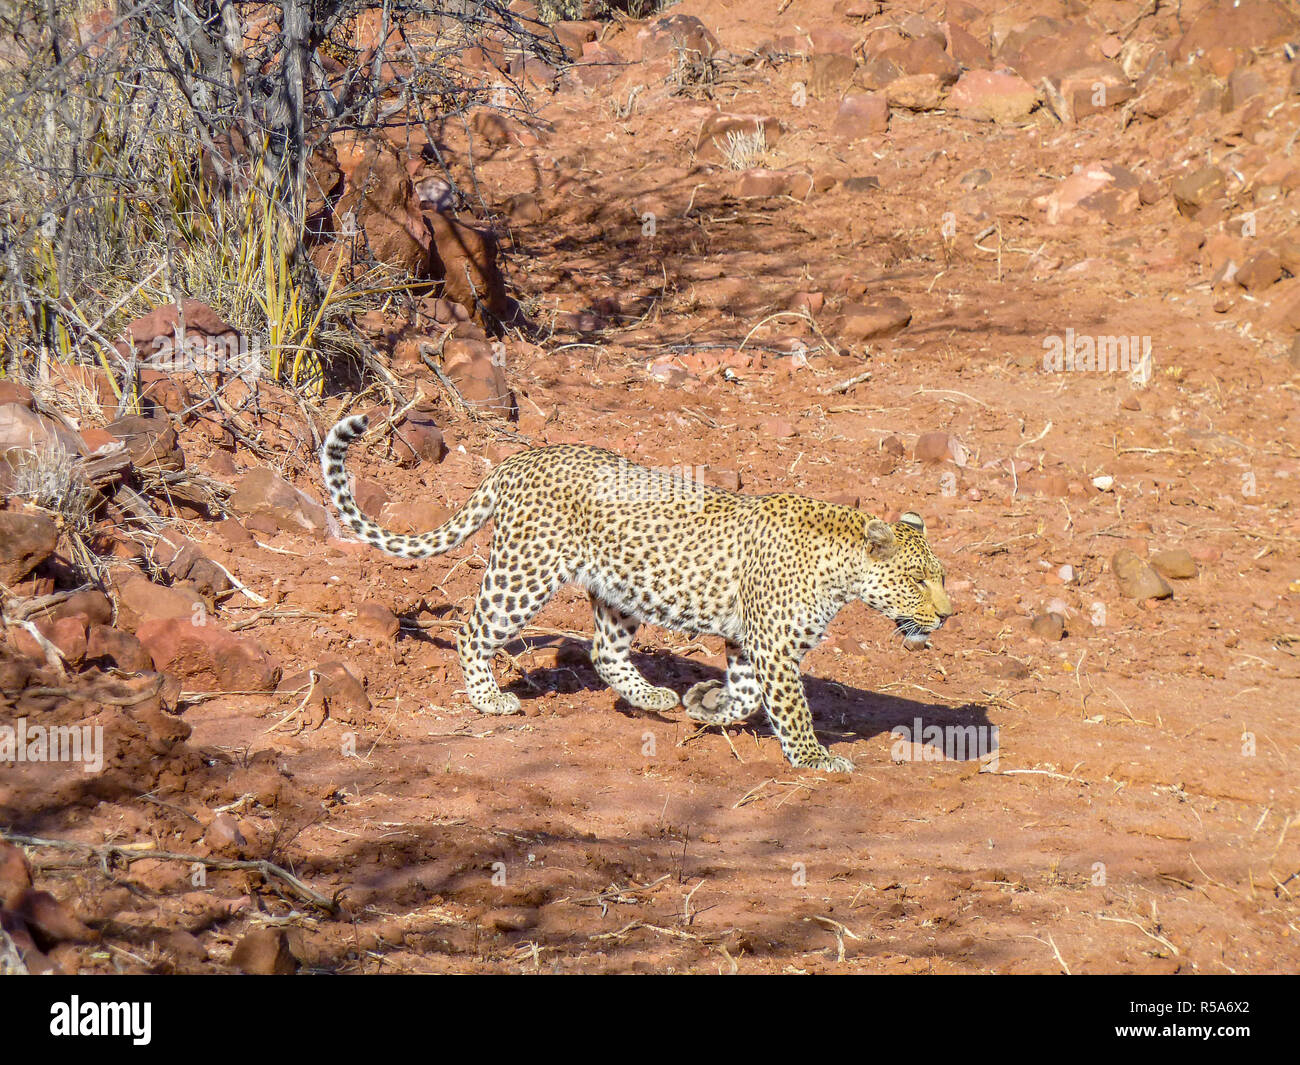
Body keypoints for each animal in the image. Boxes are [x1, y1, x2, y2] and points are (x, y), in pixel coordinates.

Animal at [321, 414, 954, 772]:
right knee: (471, 630)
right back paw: (488, 699)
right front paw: (816, 759)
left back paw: (654, 698)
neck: (841, 566)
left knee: (604, 652)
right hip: (525, 573)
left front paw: (706, 705)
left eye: (941, 577)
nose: (948, 615)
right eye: (918, 580)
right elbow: (789, 708)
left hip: (618, 590)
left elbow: (747, 694)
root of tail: (518, 459)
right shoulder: (773, 646)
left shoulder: (750, 643)